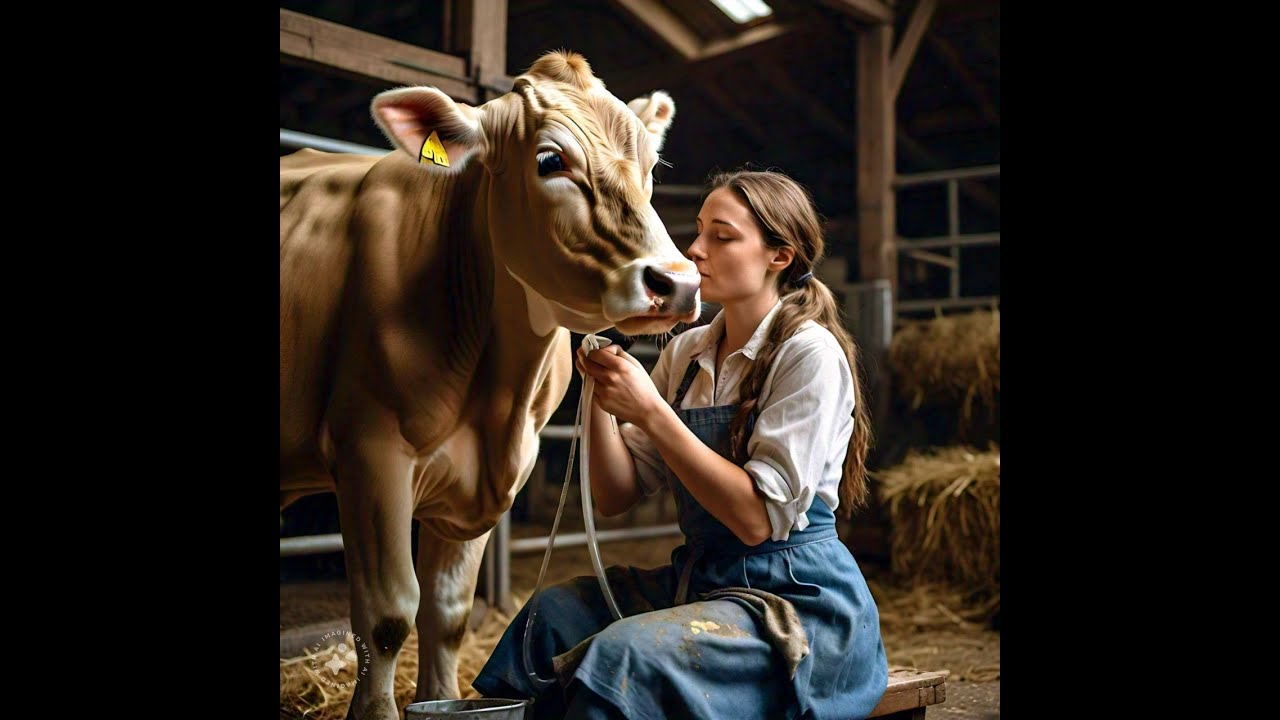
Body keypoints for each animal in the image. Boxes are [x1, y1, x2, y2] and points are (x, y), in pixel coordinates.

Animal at [280, 50, 700, 719]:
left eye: (651, 166)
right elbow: (388, 614)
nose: (677, 282)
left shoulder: (484, 481)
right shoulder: (369, 453)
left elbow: (447, 611)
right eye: (550, 161)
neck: (495, 395)